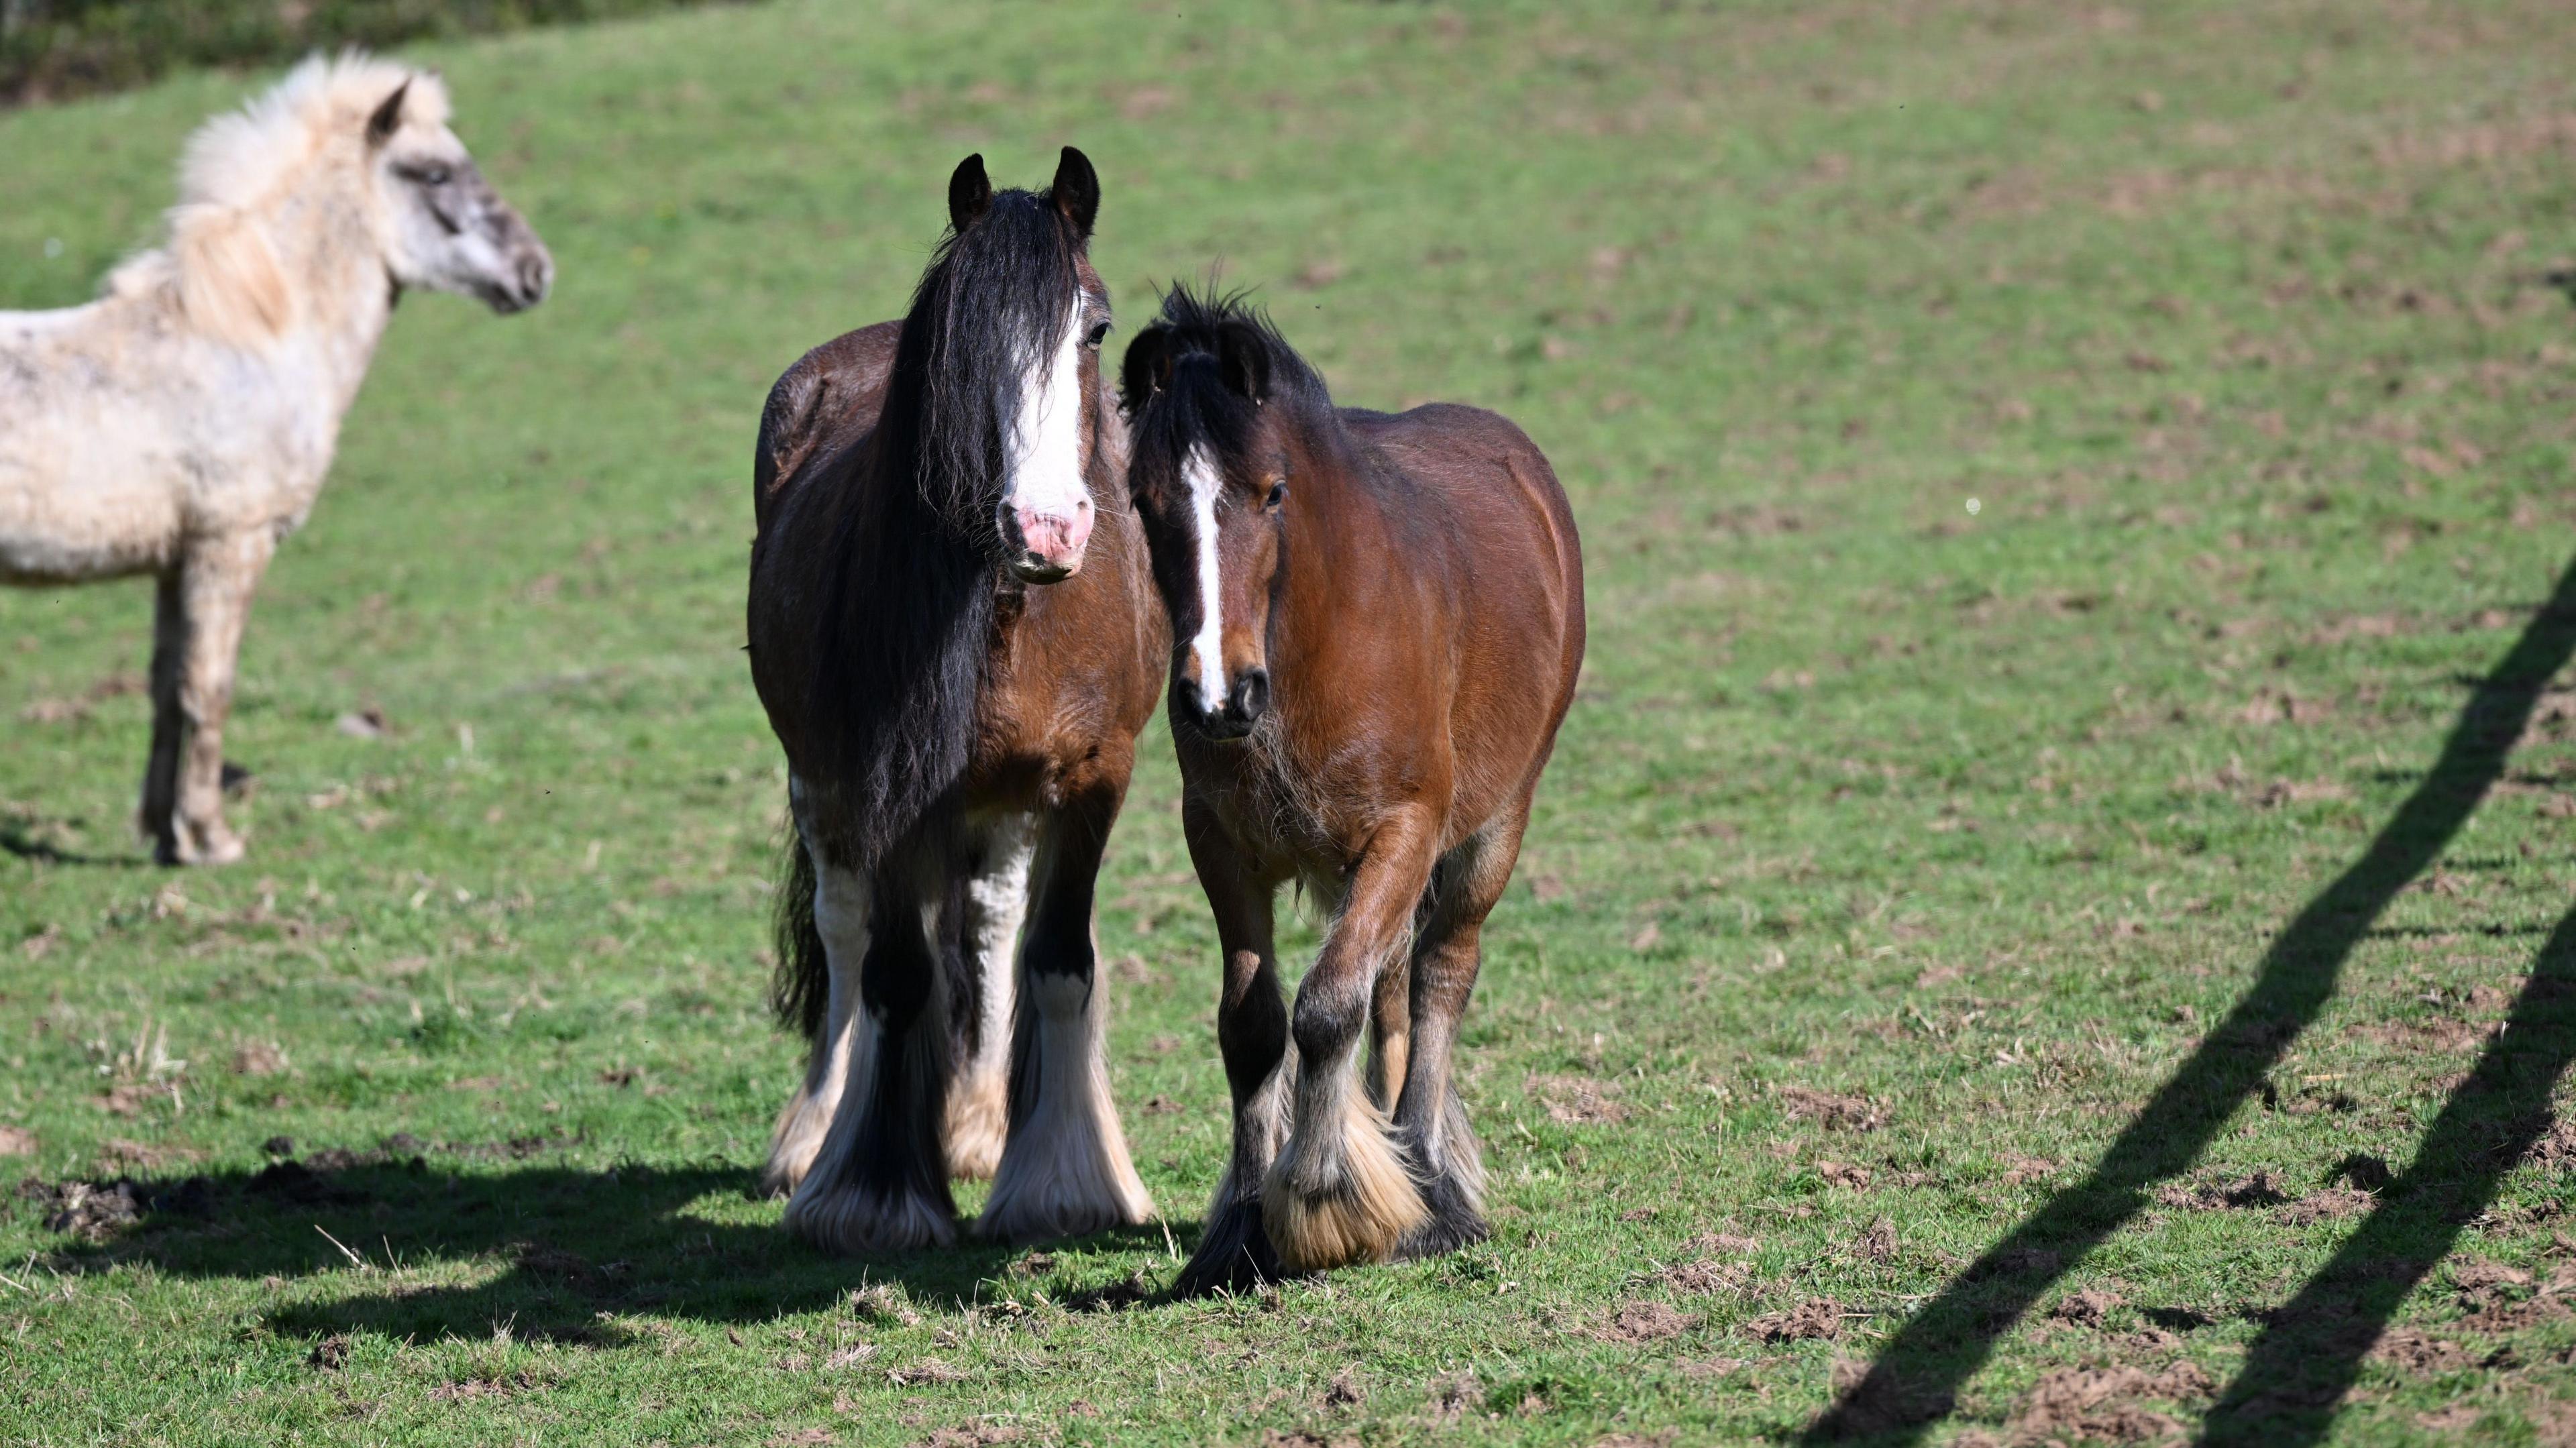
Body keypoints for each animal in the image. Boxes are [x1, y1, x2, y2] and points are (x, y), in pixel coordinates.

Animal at [0, 55, 552, 865]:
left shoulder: (178, 560)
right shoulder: (231, 545)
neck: (251, 339)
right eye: (436, 173)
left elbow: (167, 689)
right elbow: (208, 687)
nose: (535, 271)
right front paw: (211, 838)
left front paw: (165, 834)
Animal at [746, 149, 1166, 1253]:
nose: (1049, 526)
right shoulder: (886, 784)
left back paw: (976, 1123)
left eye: (1094, 328)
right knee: (847, 929)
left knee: (987, 918)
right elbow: (893, 972)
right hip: (822, 786)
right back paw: (815, 1133)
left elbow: (1057, 959)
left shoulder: (1093, 778)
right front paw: (874, 1195)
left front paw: (1064, 1184)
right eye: (960, 342)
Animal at [1116, 287, 1586, 1293]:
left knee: (1442, 974)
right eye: (1142, 500)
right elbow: (1253, 1023)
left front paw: (1329, 1194)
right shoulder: (1221, 842)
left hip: (1494, 826)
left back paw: (1432, 1183)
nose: (1219, 694)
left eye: (1272, 491)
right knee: (1396, 985)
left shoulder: (1406, 831)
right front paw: (1240, 1229)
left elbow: (1327, 1004)